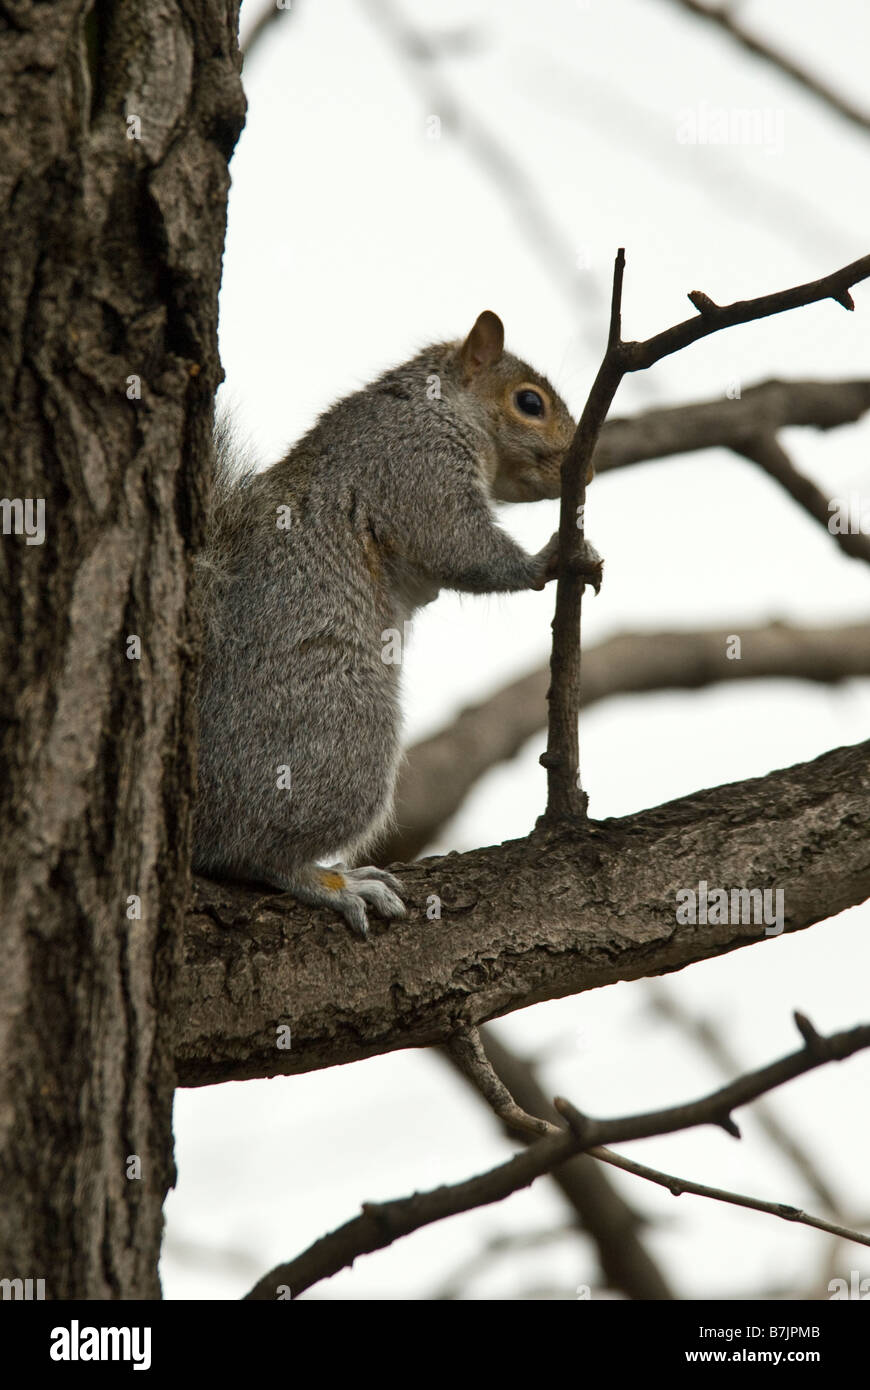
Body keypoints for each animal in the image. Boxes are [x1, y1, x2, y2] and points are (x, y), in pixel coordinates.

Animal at [192, 310, 601, 937]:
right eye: (529, 402)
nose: (590, 468)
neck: (441, 403)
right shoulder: (415, 463)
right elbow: (460, 545)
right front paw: (554, 558)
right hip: (342, 727)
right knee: (246, 851)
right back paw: (332, 882)